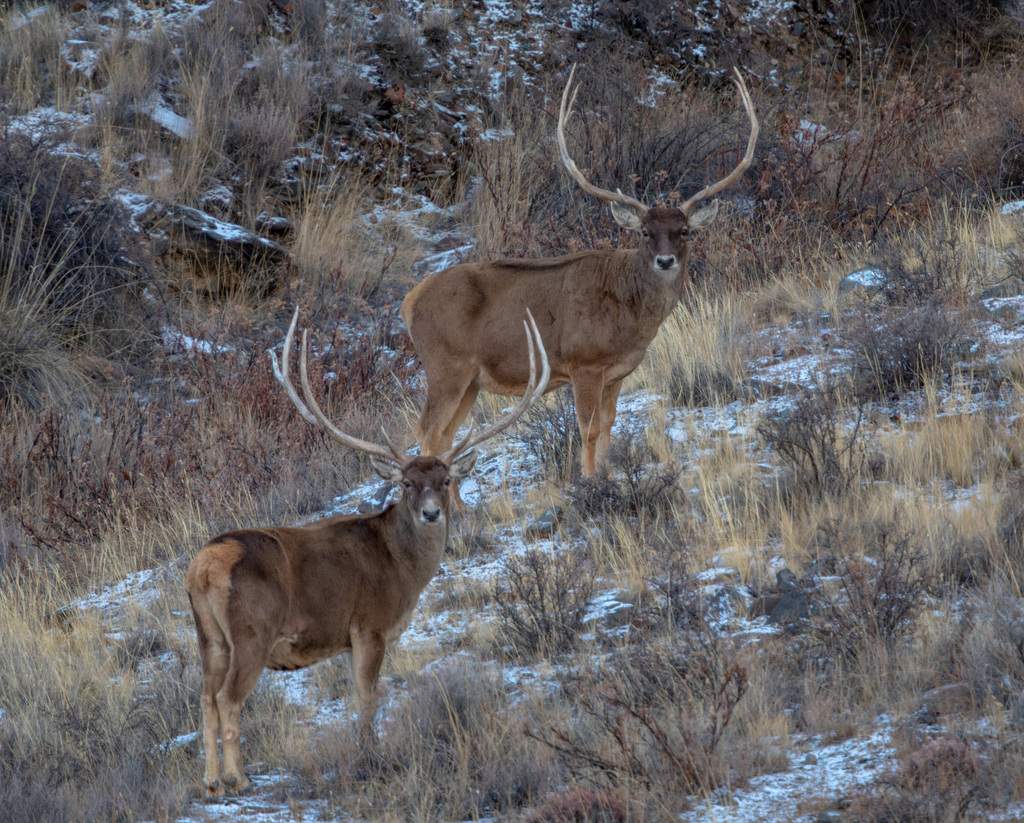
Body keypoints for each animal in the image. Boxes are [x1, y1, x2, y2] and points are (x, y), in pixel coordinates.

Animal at [185, 306, 549, 798]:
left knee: (205, 696)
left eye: (445, 480)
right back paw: (238, 778)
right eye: (407, 483)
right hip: (251, 630)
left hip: (208, 636)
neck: (400, 566)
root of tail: (203, 568)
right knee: (228, 698)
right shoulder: (369, 625)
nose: (432, 513)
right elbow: (368, 697)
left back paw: (209, 781)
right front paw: (368, 754)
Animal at [401, 66, 758, 485]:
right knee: (426, 430)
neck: (630, 317)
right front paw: (588, 482)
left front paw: (609, 475)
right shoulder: (582, 361)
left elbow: (609, 426)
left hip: (471, 380)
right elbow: (587, 428)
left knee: (446, 435)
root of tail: (409, 302)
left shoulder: (617, 372)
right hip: (445, 365)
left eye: (684, 230)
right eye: (644, 232)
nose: (666, 260)